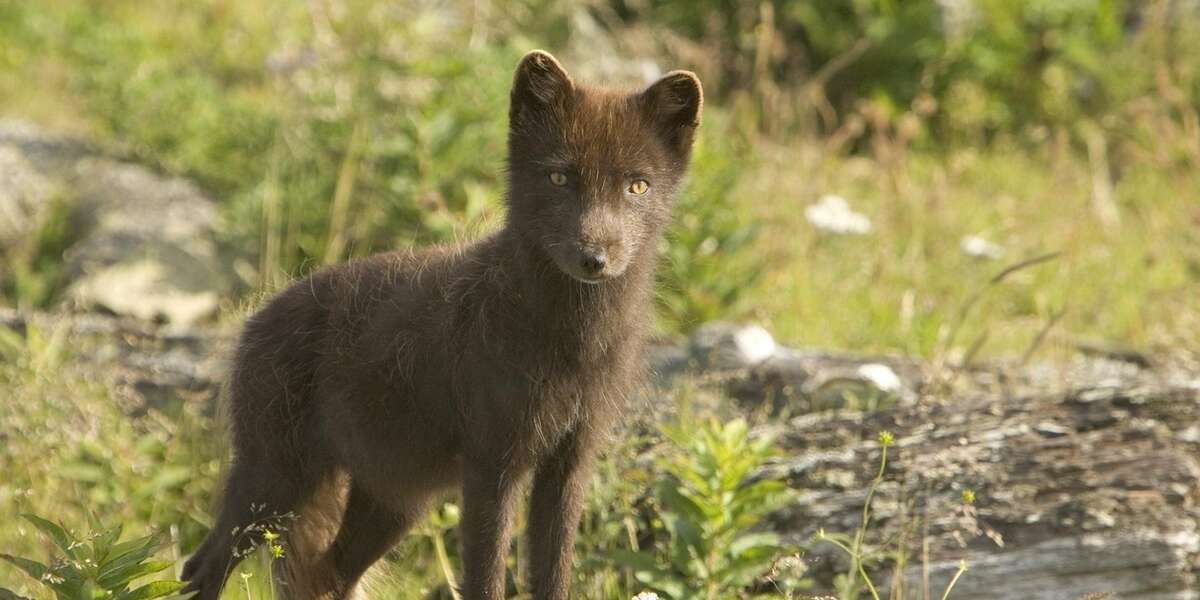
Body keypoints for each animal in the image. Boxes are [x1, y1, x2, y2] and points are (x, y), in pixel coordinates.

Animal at [181, 50, 702, 600]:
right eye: (560, 178)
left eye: (637, 185)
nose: (594, 258)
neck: (573, 342)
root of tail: (260, 313)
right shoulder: (491, 465)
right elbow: (486, 578)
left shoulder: (569, 464)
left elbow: (554, 575)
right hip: (275, 483)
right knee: (203, 567)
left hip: (390, 504)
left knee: (328, 577)